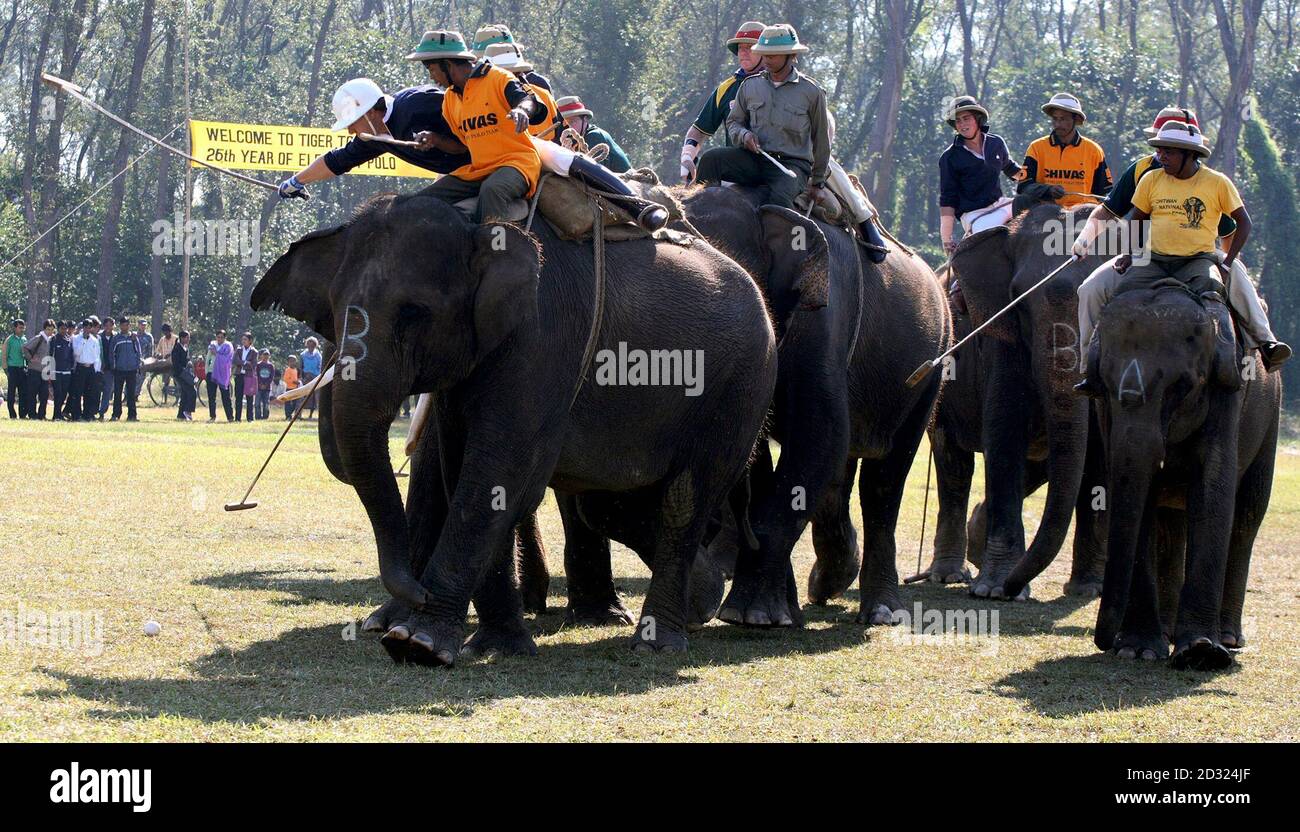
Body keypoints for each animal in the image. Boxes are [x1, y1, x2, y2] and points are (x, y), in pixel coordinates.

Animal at [251, 189, 777, 664]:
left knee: (685, 498)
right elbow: (469, 467)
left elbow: (498, 469)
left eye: (414, 313)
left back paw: (659, 643)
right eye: (334, 309)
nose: (417, 593)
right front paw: (490, 646)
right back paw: (699, 604)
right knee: (610, 502)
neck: (477, 225)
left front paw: (417, 643)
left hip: (741, 384)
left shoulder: (544, 337)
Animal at [948, 202, 1111, 600]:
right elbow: (1004, 432)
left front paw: (1088, 590)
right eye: (1019, 299)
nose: (1012, 588)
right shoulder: (999, 336)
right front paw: (993, 589)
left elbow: (1099, 450)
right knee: (953, 463)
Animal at [1090, 284, 1280, 670]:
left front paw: (1202, 652)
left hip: (1271, 417)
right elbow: (1140, 496)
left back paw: (1227, 638)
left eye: (1182, 388)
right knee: (1170, 528)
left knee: (1247, 517)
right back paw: (1166, 634)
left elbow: (1213, 488)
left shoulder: (1228, 390)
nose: (1104, 642)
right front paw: (1138, 650)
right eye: (1103, 385)